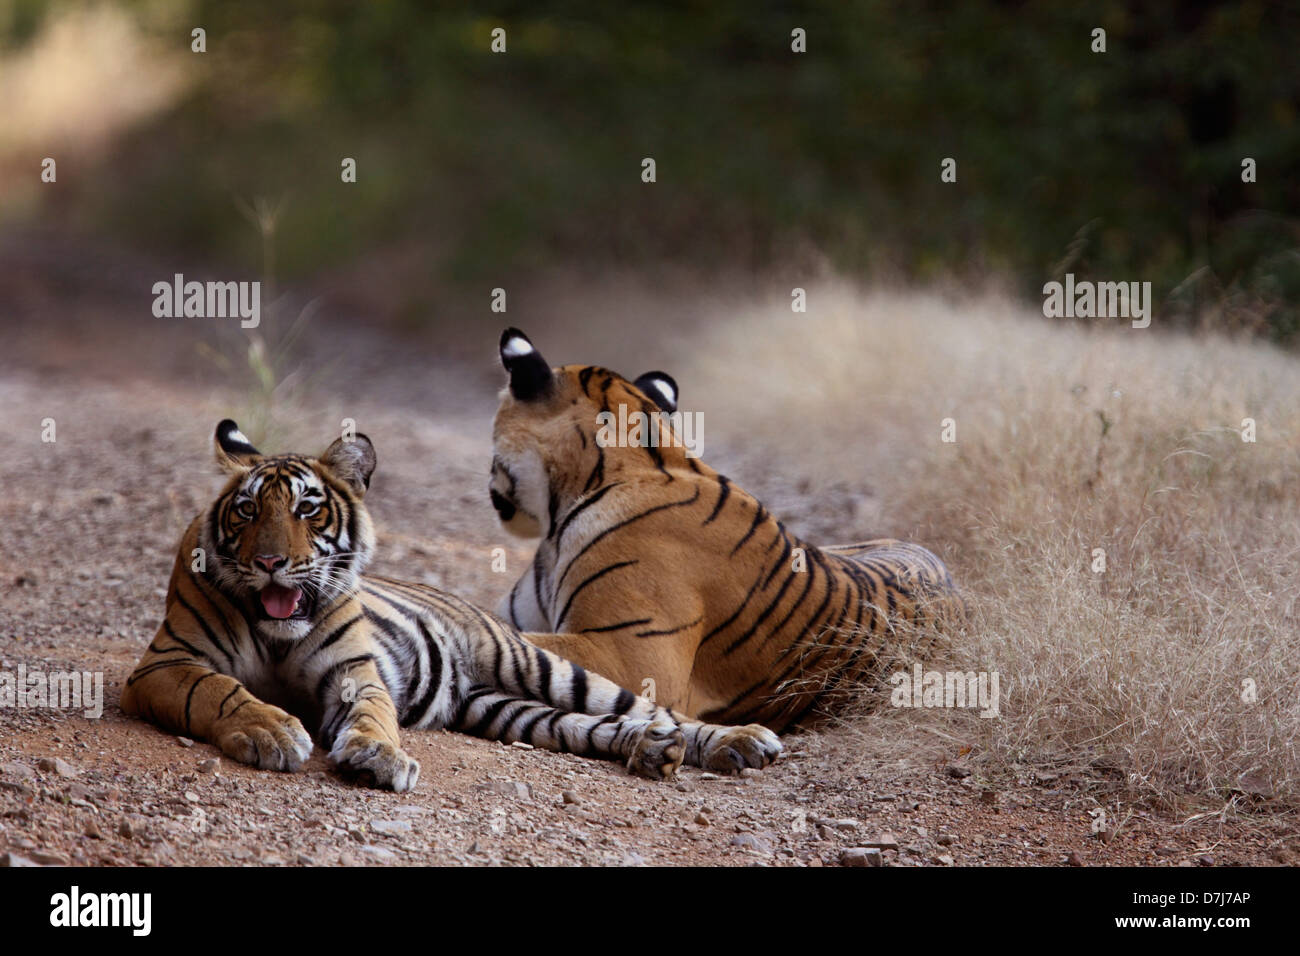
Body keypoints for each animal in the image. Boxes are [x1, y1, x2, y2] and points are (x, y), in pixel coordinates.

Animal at [120, 419, 695, 792]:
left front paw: (379, 756)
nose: (269, 561)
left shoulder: (354, 673)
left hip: (533, 664)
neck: (277, 635)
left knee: (650, 709)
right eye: (247, 510)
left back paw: (707, 745)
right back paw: (653, 748)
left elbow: (375, 715)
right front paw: (272, 730)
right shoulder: (164, 663)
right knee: (584, 724)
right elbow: (217, 690)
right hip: (502, 710)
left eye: (307, 509)